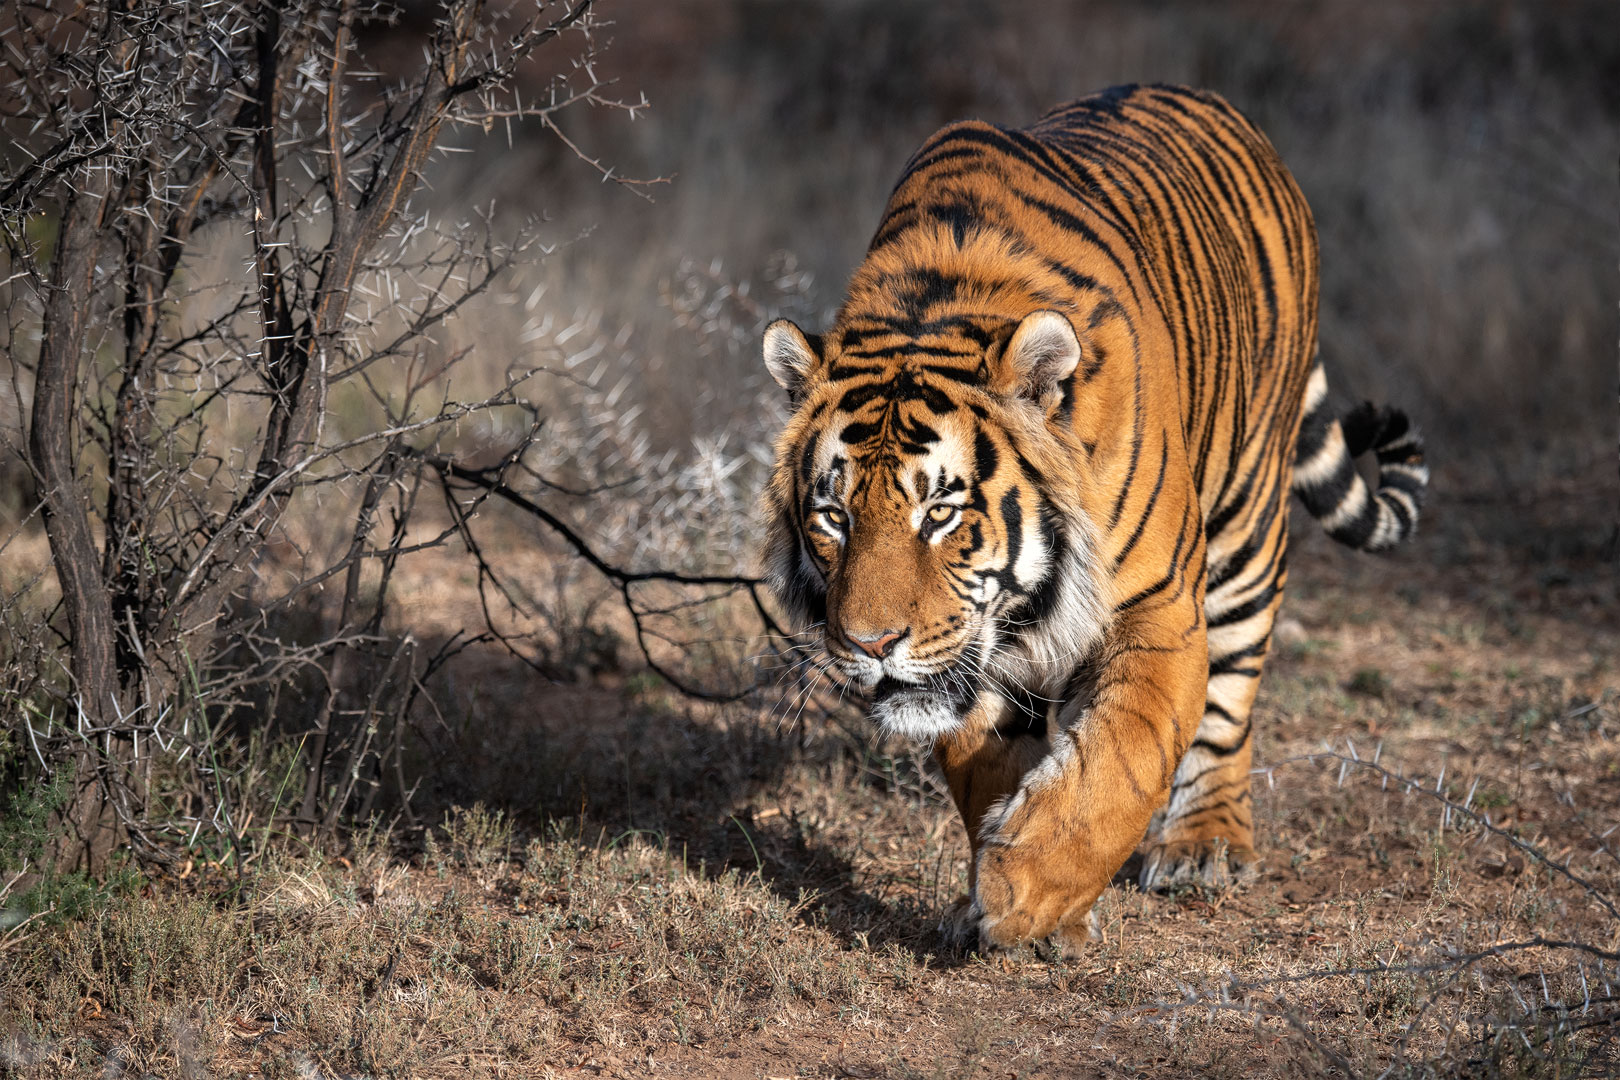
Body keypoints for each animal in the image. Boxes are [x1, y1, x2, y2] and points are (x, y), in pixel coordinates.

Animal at [760, 83, 1427, 954]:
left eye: (941, 512)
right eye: (834, 516)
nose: (870, 646)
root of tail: (1220, 107)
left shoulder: (1160, 608)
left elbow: (1122, 758)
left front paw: (1025, 892)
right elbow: (988, 768)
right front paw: (1021, 892)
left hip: (1246, 526)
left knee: (1231, 694)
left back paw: (1205, 846)